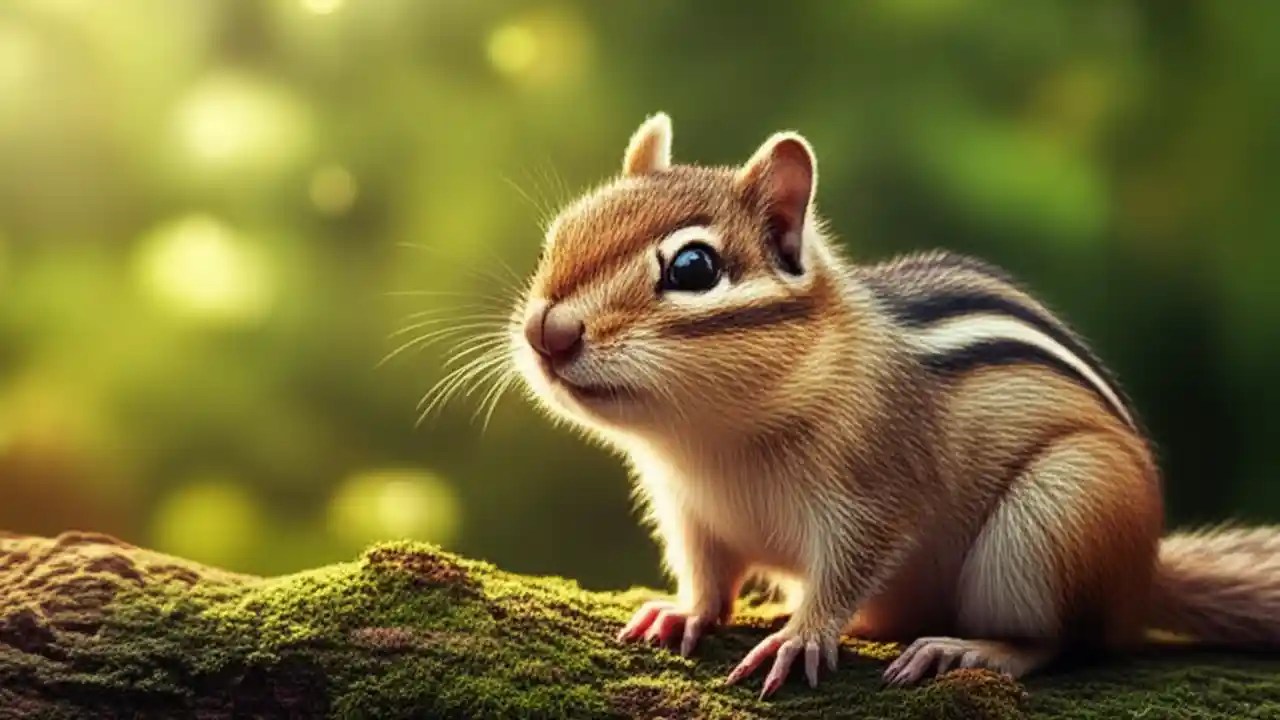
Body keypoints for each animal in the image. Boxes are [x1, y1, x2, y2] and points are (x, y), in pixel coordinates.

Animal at [509, 112, 1280, 698]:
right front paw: (683, 614)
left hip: (1060, 517)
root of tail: (1144, 572)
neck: (709, 435)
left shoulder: (876, 487)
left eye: (693, 268)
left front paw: (802, 636)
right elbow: (707, 578)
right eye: (557, 238)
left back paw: (974, 650)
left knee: (1066, 639)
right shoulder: (691, 514)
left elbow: (847, 568)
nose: (547, 332)